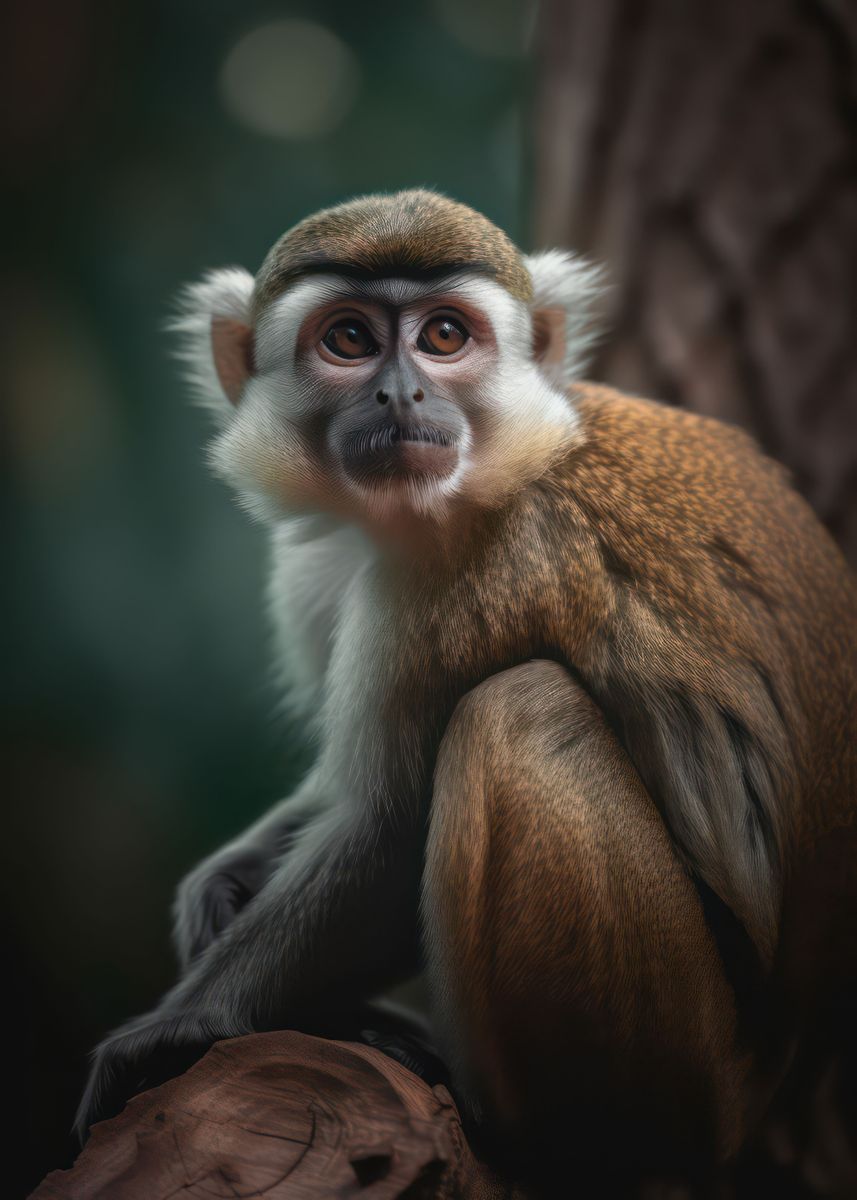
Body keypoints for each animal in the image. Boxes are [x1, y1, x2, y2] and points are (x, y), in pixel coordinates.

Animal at [76, 189, 856, 1185]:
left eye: (445, 335)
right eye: (349, 339)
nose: (401, 394)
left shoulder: (472, 571)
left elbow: (386, 830)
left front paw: (177, 1031)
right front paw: (227, 879)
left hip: (696, 1078)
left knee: (519, 710)